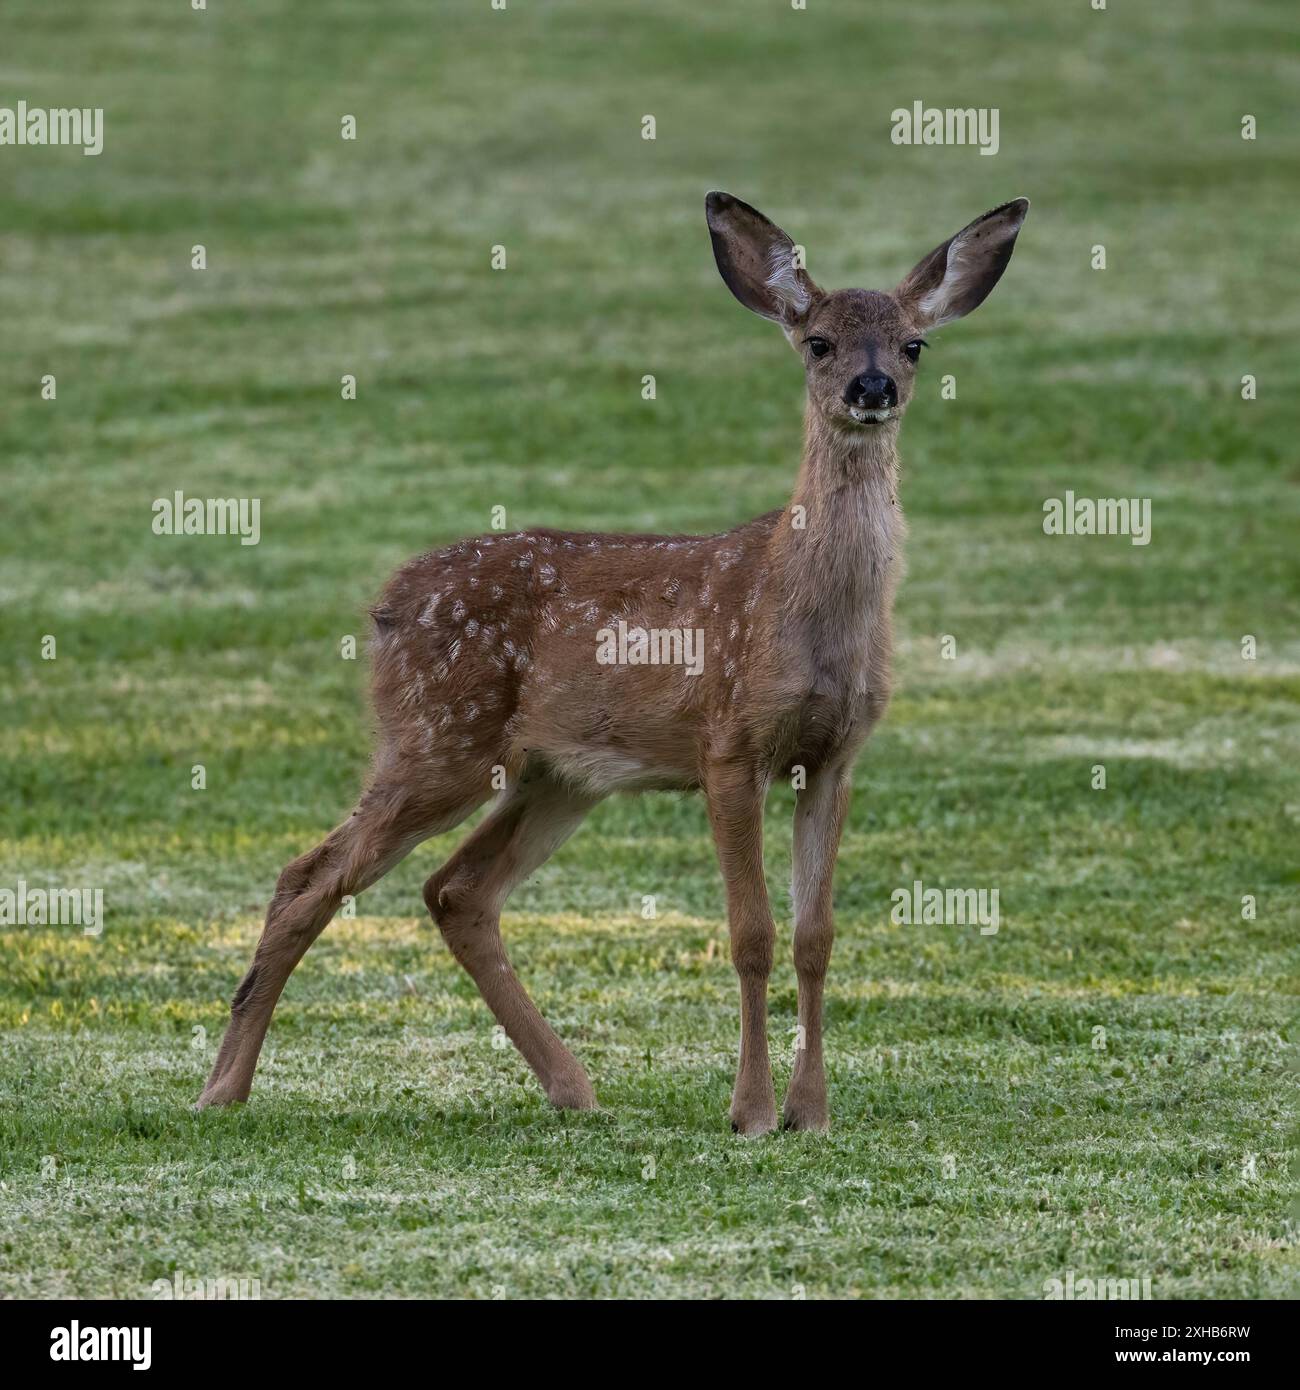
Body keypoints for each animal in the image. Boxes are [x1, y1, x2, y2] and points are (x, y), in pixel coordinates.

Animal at [198, 193, 1028, 1134]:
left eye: (913, 344)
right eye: (818, 341)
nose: (872, 388)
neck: (802, 605)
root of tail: (385, 605)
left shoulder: (835, 757)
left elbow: (815, 938)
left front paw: (810, 1112)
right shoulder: (728, 742)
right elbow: (751, 934)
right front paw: (750, 1112)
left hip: (556, 775)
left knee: (457, 891)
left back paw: (575, 1088)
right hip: (439, 737)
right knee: (309, 875)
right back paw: (223, 1088)